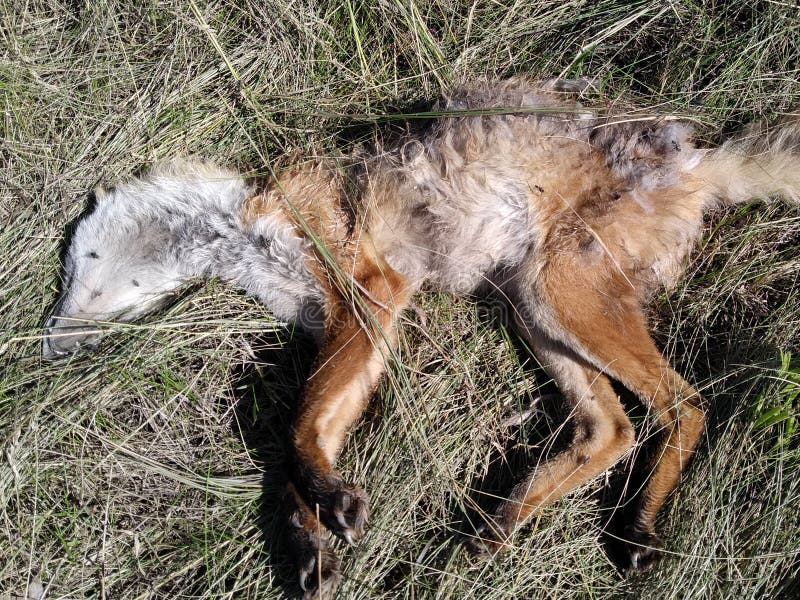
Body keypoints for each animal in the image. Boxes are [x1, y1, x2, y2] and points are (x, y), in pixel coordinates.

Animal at [42, 78, 800, 599]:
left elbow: (294, 429)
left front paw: (328, 509)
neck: (253, 229)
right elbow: (298, 450)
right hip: (535, 311)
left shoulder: (369, 293)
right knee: (612, 428)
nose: (47, 343)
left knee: (685, 404)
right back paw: (502, 525)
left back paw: (637, 528)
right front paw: (314, 539)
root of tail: (698, 159)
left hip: (562, 297)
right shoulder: (352, 326)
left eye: (76, 267)